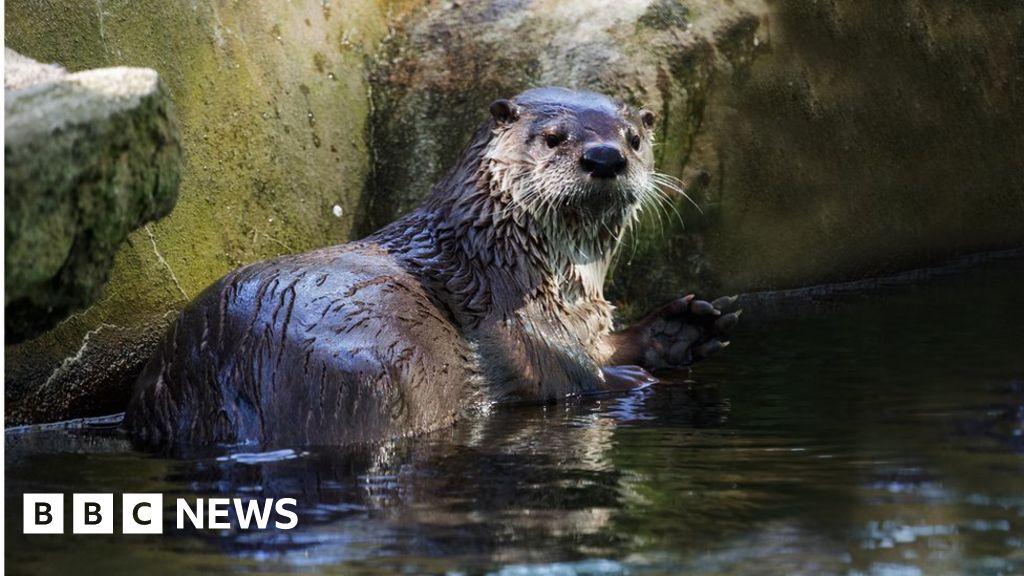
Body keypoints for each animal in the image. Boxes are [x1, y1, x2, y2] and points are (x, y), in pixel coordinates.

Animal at [126, 87, 739, 448]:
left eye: (633, 138)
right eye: (553, 137)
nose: (606, 156)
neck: (504, 256)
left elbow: (600, 344)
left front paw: (679, 329)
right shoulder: (515, 318)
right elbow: (565, 375)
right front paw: (637, 378)